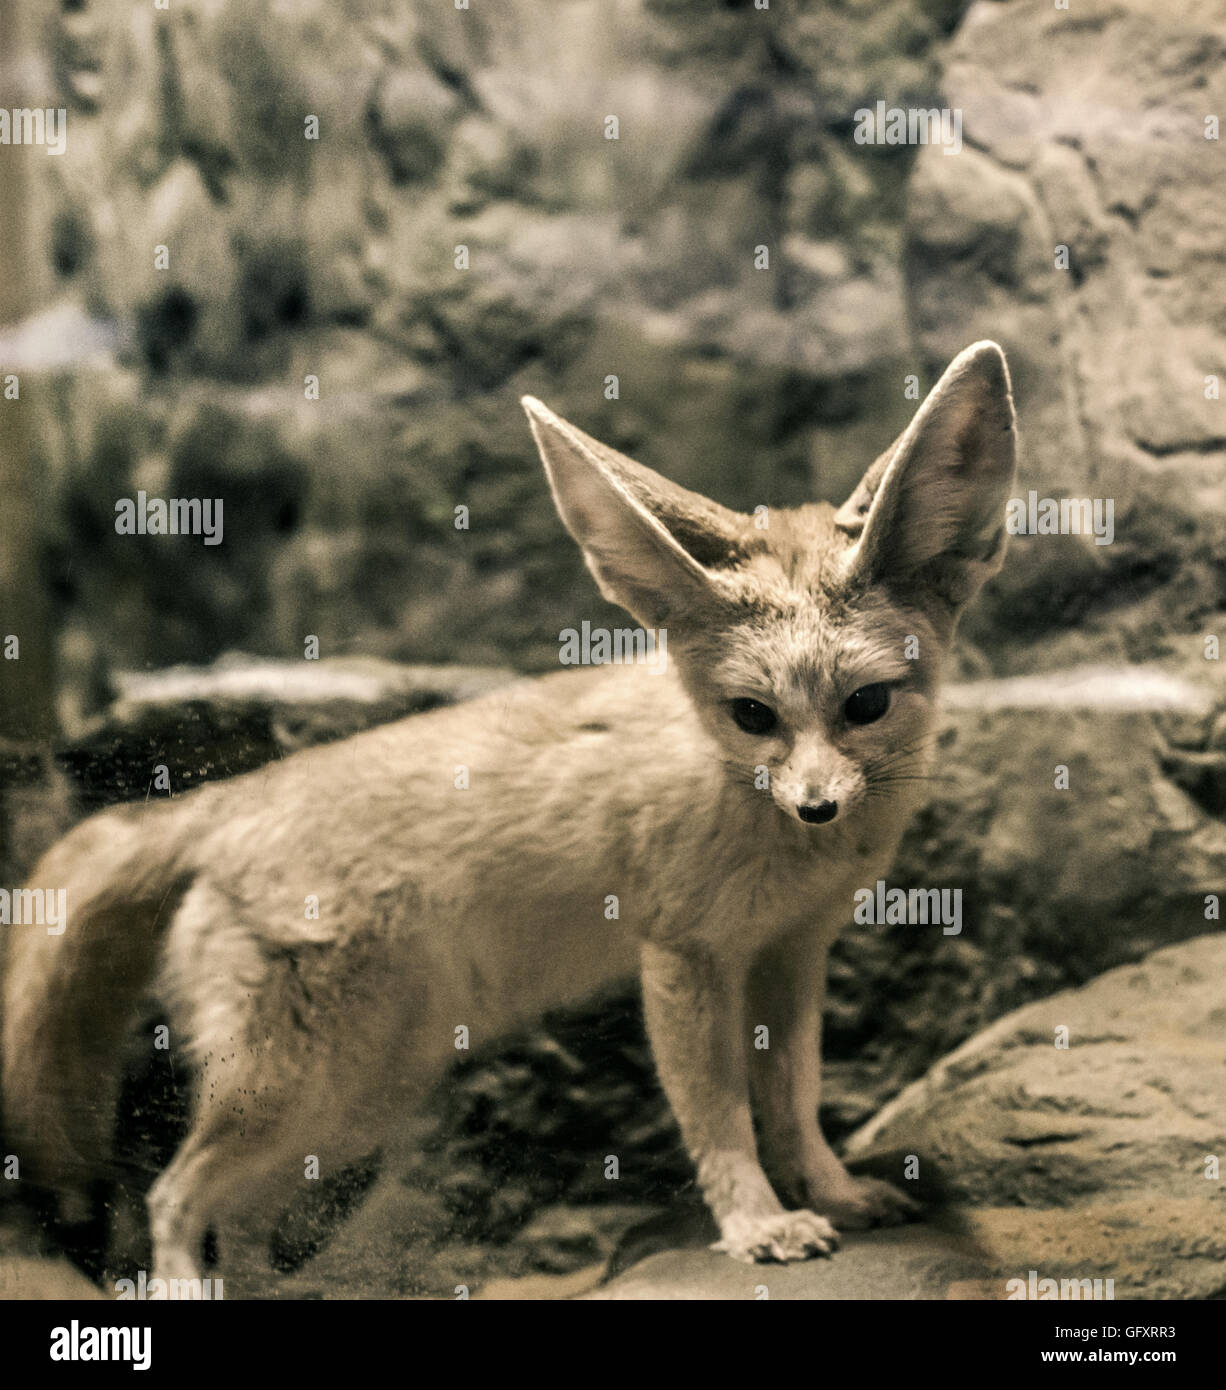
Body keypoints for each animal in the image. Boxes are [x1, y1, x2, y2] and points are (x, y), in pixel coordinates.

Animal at [2, 340, 1016, 1283]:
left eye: (866, 705)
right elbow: (720, 1113)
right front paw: (756, 1225)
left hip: (357, 1094)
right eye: (753, 716)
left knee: (237, 1221)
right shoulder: (684, 957)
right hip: (299, 1087)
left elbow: (796, 1099)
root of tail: (228, 798)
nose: (816, 807)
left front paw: (833, 1193)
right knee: (172, 1197)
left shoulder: (791, 952)